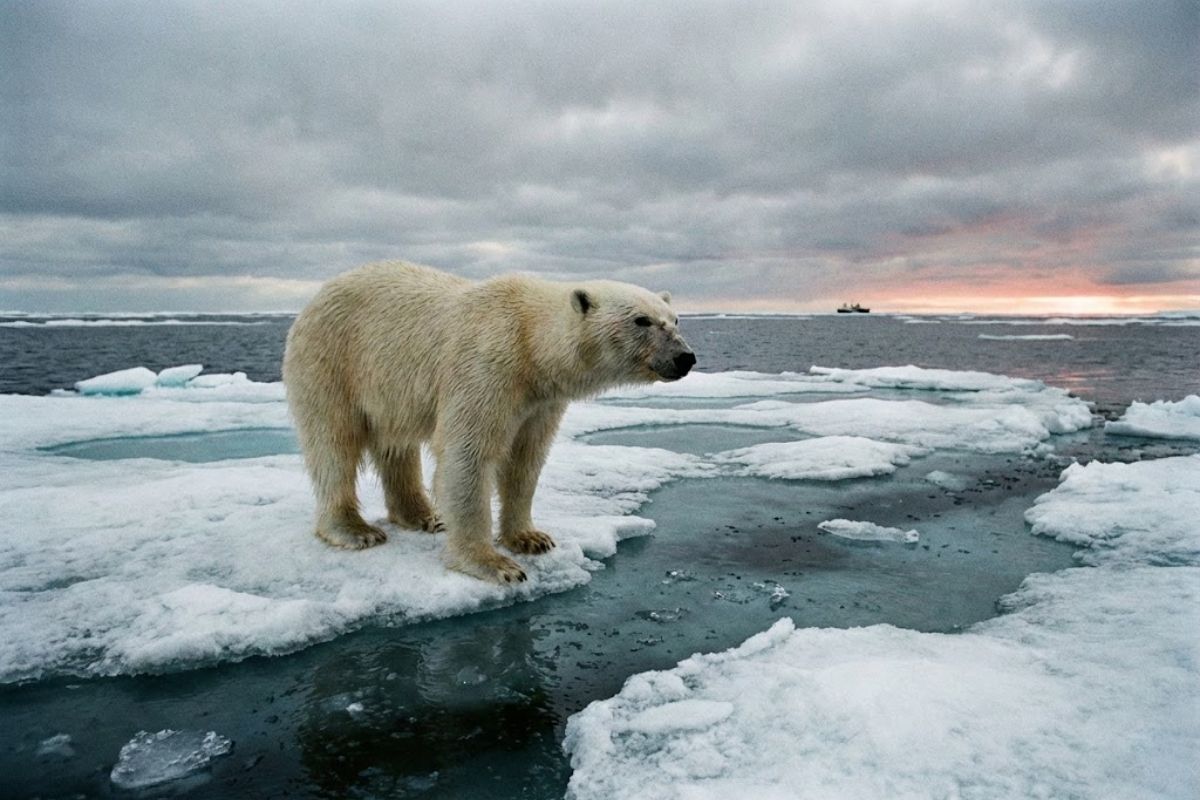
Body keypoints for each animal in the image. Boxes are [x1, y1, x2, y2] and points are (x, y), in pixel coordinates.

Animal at [283, 261, 695, 583]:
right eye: (641, 320)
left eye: (675, 319)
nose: (685, 357)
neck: (531, 343)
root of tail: (315, 297)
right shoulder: (487, 366)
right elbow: (469, 455)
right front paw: (495, 565)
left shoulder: (540, 401)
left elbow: (525, 460)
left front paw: (531, 538)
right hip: (333, 360)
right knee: (333, 444)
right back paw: (355, 530)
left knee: (395, 445)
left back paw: (423, 516)